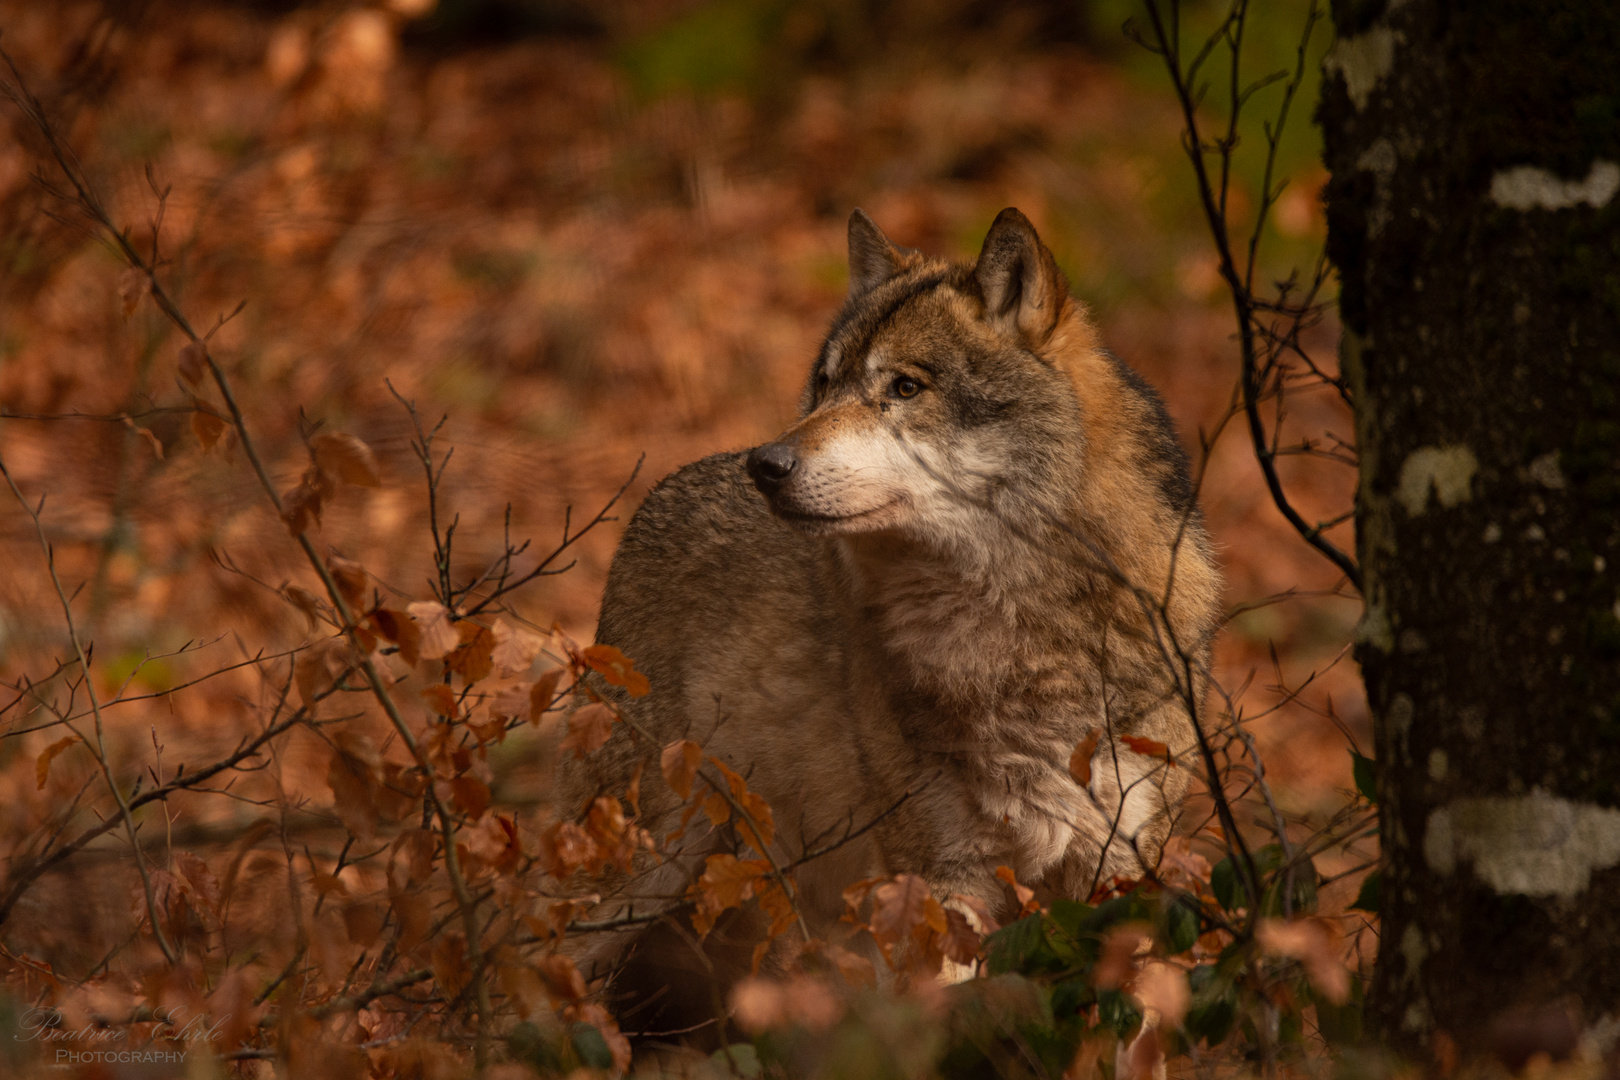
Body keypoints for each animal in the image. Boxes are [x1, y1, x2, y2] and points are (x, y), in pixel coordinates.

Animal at [556, 208, 1221, 1029]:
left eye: (904, 388)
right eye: (823, 384)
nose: (765, 465)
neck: (1011, 639)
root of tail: (659, 493)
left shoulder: (1119, 875)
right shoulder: (939, 877)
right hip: (634, 866)